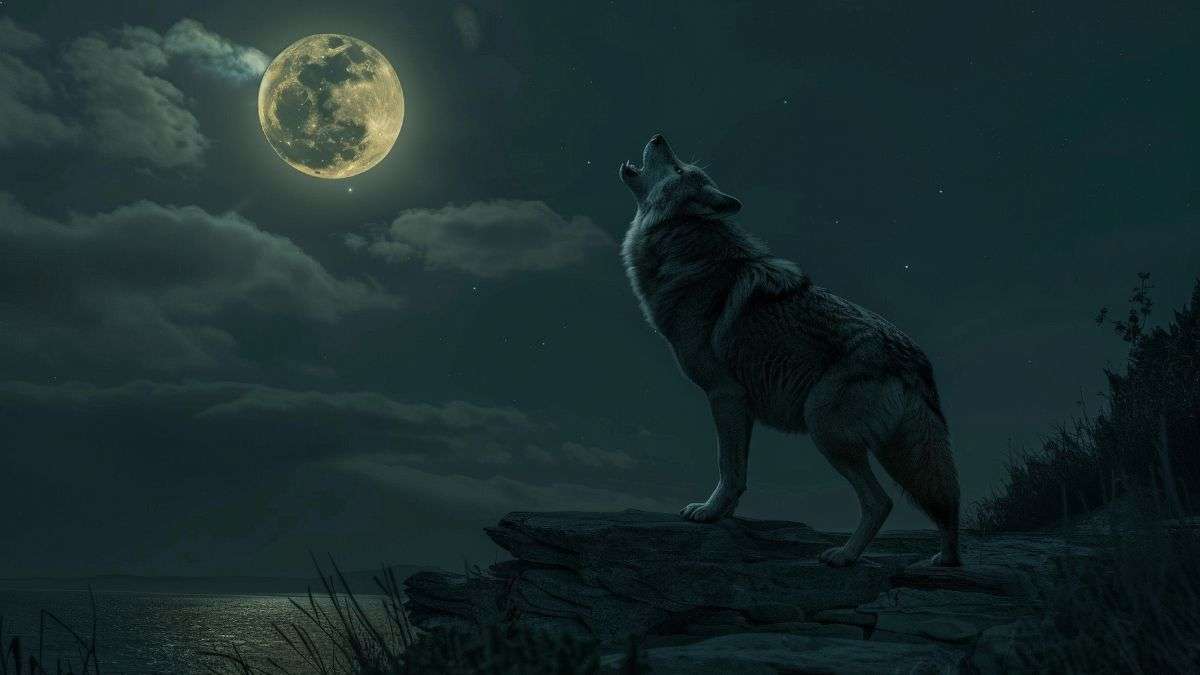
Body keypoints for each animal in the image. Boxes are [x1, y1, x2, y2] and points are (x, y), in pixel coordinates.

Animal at [618, 134, 961, 567]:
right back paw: (943, 560)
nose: (659, 136)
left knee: (879, 501)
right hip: (895, 451)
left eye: (679, 168)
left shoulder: (725, 394)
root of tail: (914, 357)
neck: (680, 241)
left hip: (825, 429)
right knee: (944, 501)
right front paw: (725, 514)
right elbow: (739, 472)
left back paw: (844, 556)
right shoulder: (741, 406)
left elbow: (726, 465)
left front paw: (708, 513)